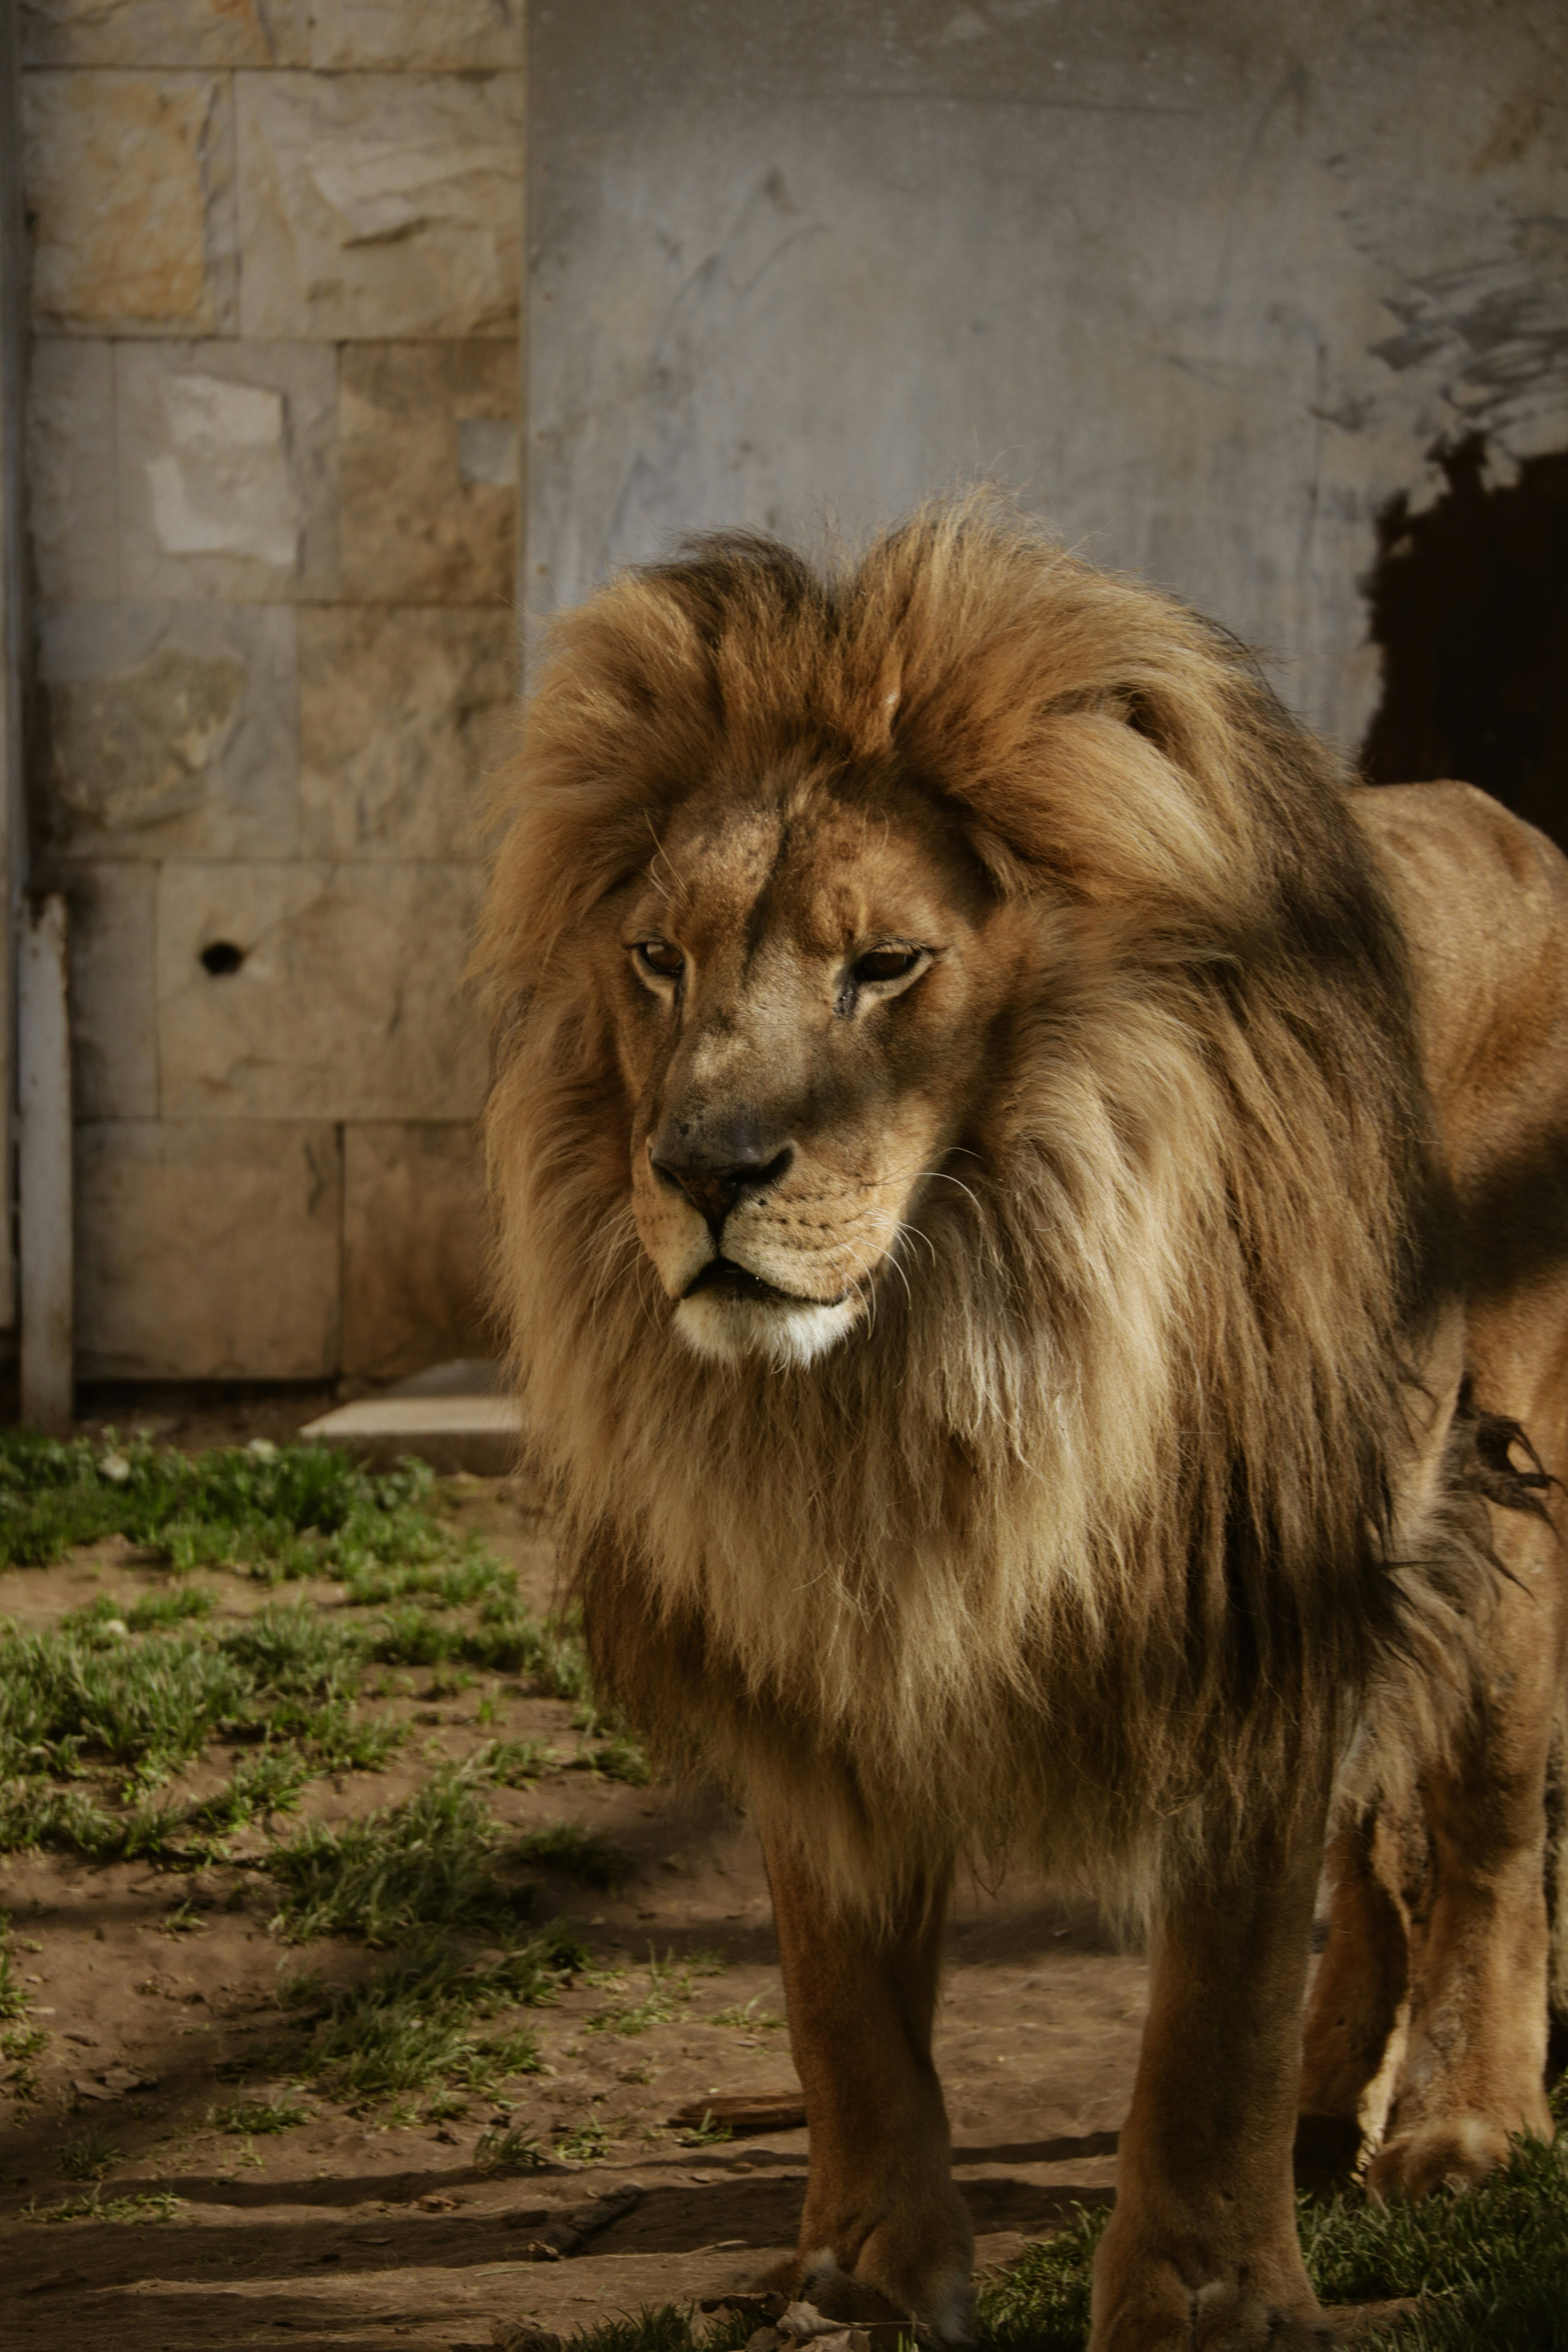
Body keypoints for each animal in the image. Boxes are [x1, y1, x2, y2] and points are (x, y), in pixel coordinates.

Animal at [478, 499, 1568, 2352]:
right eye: (657, 959)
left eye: (886, 965)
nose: (702, 1170)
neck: (933, 1348)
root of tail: (1510, 824)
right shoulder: (808, 1623)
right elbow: (836, 1996)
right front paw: (858, 2279)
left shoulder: (1251, 1587)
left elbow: (1208, 2009)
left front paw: (1205, 2297)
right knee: (1374, 1851)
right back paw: (1326, 2106)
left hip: (1492, 1492)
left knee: (1485, 1825)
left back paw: (1463, 2126)